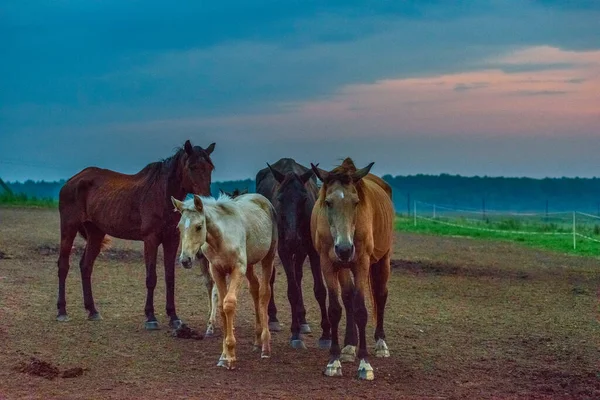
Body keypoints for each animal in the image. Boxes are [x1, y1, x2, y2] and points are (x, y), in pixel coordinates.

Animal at [55, 139, 216, 330]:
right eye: (192, 166)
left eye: (210, 167)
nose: (205, 201)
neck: (161, 194)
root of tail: (71, 181)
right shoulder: (150, 240)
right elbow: (151, 277)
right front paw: (151, 317)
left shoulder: (172, 240)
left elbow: (170, 278)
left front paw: (174, 317)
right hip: (68, 228)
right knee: (63, 266)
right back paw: (62, 312)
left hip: (96, 233)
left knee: (86, 266)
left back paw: (93, 311)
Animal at [172, 192, 278, 370]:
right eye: (179, 227)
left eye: (199, 226)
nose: (185, 260)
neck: (220, 239)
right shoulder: (217, 271)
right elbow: (221, 307)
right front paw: (224, 356)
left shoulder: (238, 269)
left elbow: (229, 304)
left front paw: (230, 355)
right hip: (250, 265)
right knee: (254, 288)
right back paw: (257, 341)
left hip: (268, 258)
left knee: (264, 293)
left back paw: (265, 347)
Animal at [255, 158, 332, 348]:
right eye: (280, 199)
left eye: (304, 198)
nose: (292, 237)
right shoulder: (284, 250)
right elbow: (292, 291)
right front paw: (295, 334)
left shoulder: (312, 250)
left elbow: (319, 290)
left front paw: (326, 334)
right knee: (272, 277)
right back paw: (273, 318)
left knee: (298, 276)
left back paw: (302, 319)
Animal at [310, 158, 394, 380]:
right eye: (328, 202)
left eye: (355, 202)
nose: (344, 249)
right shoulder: (328, 264)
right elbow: (335, 309)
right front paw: (334, 361)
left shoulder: (361, 263)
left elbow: (361, 310)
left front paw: (365, 364)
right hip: (343, 267)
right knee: (348, 297)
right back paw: (348, 347)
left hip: (383, 260)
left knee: (381, 294)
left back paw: (381, 344)